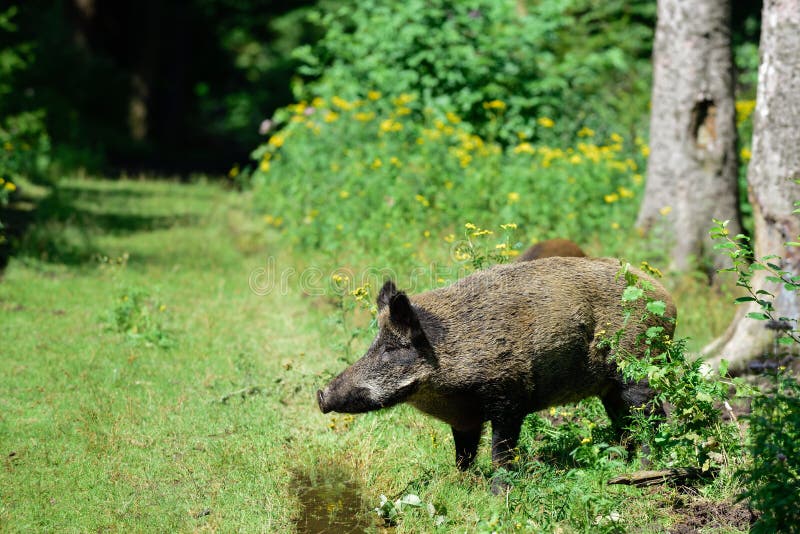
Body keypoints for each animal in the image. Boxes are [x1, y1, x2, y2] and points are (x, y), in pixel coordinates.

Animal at [317, 257, 675, 492]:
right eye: (373, 344)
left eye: (392, 348)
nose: (321, 395)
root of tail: (667, 300)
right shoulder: (464, 419)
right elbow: (463, 454)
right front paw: (459, 483)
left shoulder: (510, 396)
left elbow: (501, 453)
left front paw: (497, 493)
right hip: (608, 389)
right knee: (623, 422)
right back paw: (622, 462)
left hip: (636, 368)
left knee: (650, 418)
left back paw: (644, 470)